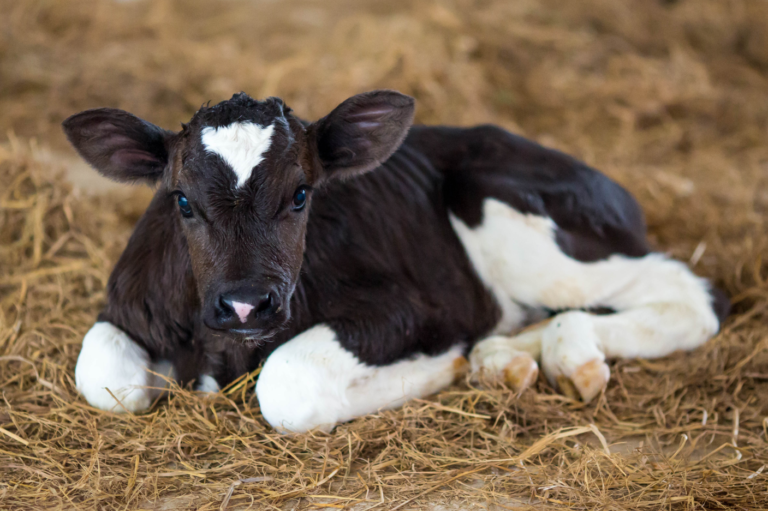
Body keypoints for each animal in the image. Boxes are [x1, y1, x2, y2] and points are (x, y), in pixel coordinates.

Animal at [62, 90, 729, 433]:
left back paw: (558, 355)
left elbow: (287, 382)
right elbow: (103, 375)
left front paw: (440, 368)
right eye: (181, 200)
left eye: (301, 193)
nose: (247, 303)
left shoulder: (411, 308)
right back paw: (503, 360)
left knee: (691, 293)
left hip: (511, 214)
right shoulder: (129, 305)